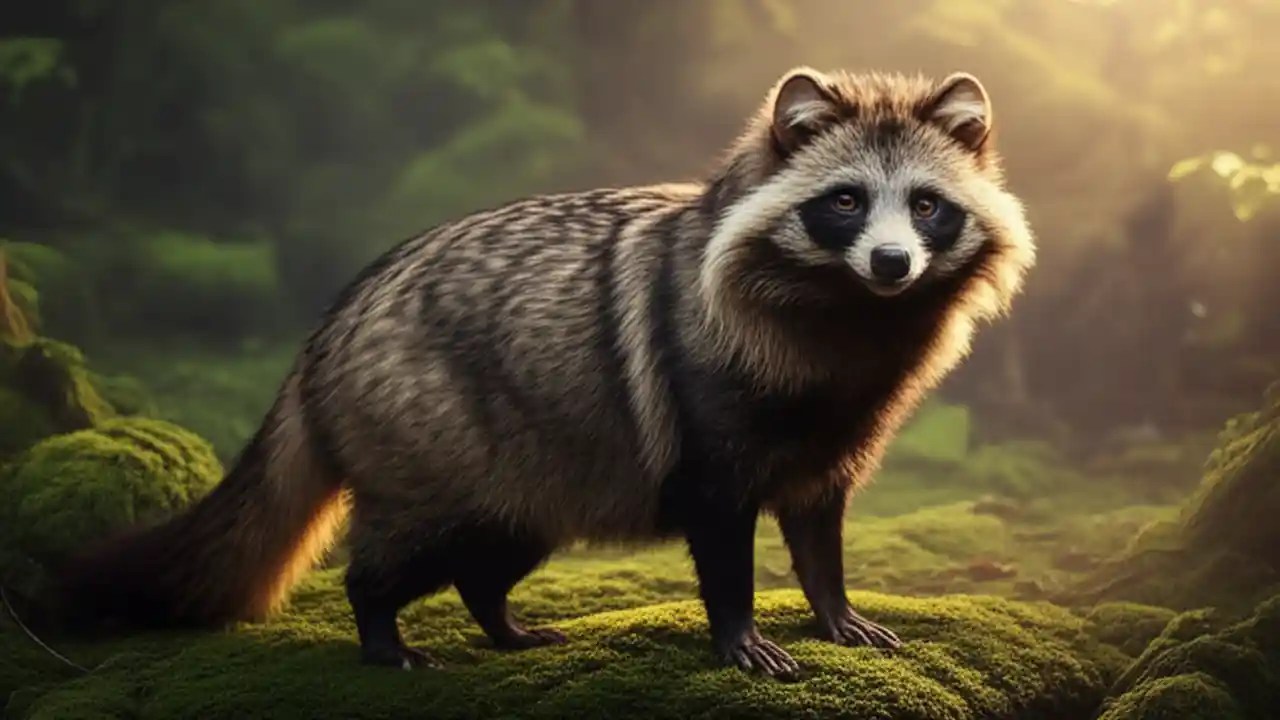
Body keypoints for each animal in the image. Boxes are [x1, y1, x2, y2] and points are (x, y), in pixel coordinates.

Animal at [60, 67, 1035, 679]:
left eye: (926, 205)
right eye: (844, 201)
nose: (892, 262)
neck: (852, 314)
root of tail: (327, 329)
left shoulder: (840, 429)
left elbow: (818, 526)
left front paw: (834, 610)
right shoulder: (707, 417)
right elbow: (721, 537)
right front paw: (738, 632)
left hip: (536, 472)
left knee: (489, 560)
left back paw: (501, 622)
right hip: (430, 442)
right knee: (395, 554)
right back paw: (380, 630)